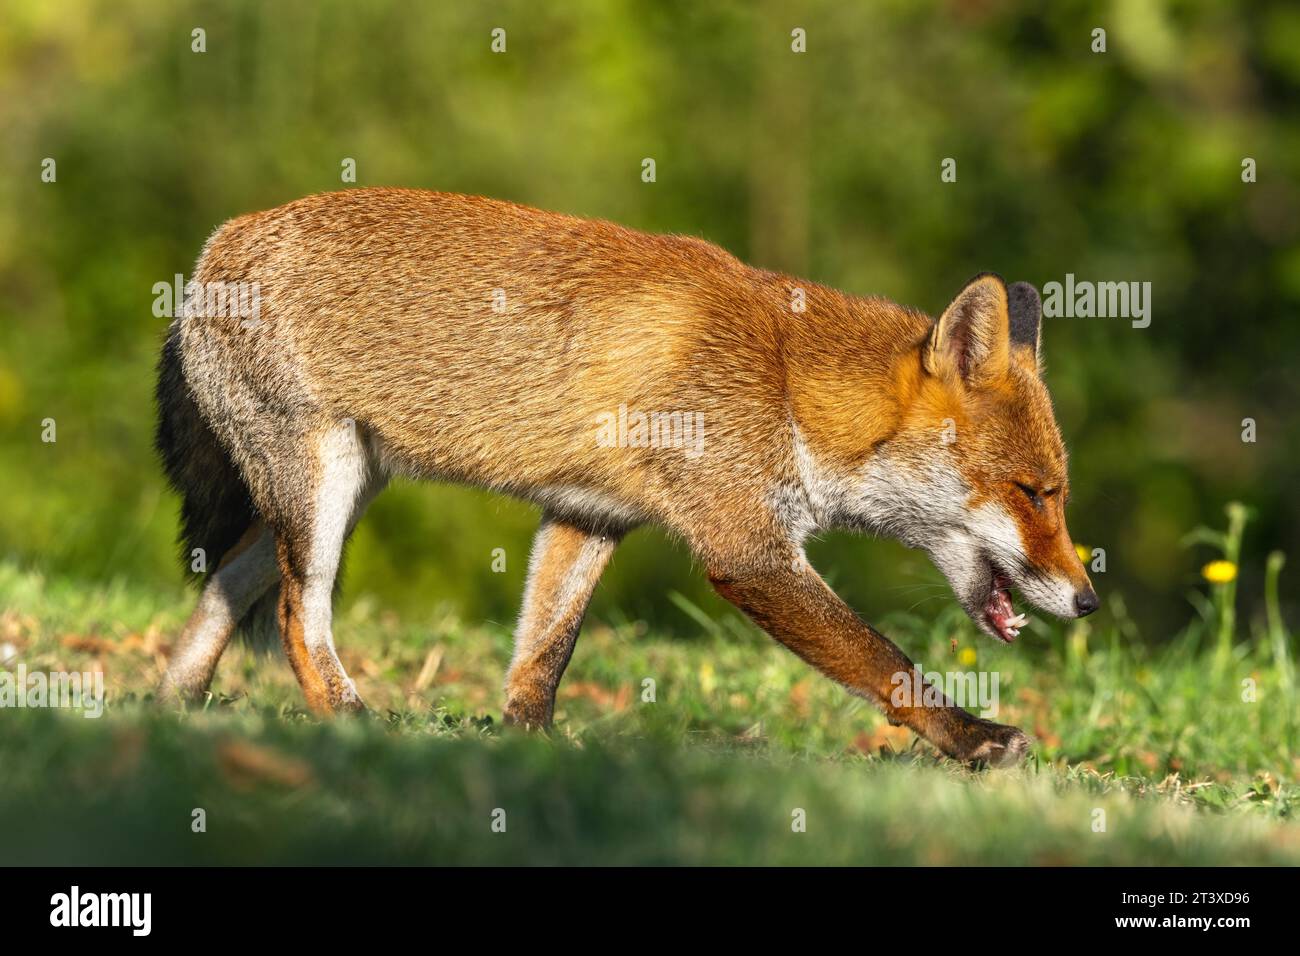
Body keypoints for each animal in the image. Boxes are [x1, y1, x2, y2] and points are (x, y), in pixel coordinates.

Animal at [155, 187, 1097, 766]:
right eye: (1034, 492)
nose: (1088, 599)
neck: (787, 384)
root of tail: (217, 243)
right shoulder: (748, 550)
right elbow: (887, 662)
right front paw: (972, 738)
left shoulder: (588, 516)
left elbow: (540, 660)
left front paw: (533, 752)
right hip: (322, 492)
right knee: (296, 617)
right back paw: (354, 727)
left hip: (342, 491)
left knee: (225, 588)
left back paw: (166, 711)